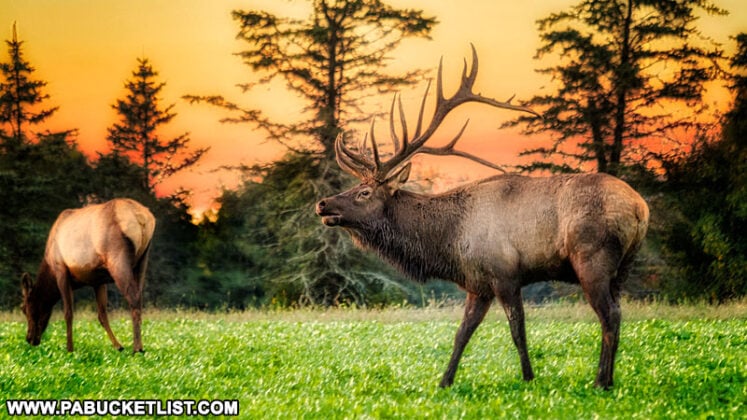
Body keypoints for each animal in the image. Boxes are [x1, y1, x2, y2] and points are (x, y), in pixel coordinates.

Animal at [21, 198, 156, 353]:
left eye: (24, 308)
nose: (30, 339)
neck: (49, 268)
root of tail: (141, 218)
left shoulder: (61, 270)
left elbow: (68, 313)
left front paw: (70, 349)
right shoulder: (98, 280)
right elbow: (102, 314)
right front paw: (118, 346)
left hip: (117, 258)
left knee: (133, 297)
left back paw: (137, 348)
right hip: (143, 259)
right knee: (139, 297)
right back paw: (139, 347)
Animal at [315, 46, 649, 389]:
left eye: (364, 193)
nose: (323, 204)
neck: (448, 241)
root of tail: (641, 208)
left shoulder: (505, 273)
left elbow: (517, 330)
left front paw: (528, 378)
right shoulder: (478, 283)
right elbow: (462, 333)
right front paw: (445, 381)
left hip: (593, 258)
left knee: (609, 315)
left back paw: (601, 381)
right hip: (624, 266)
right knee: (617, 311)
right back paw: (607, 378)